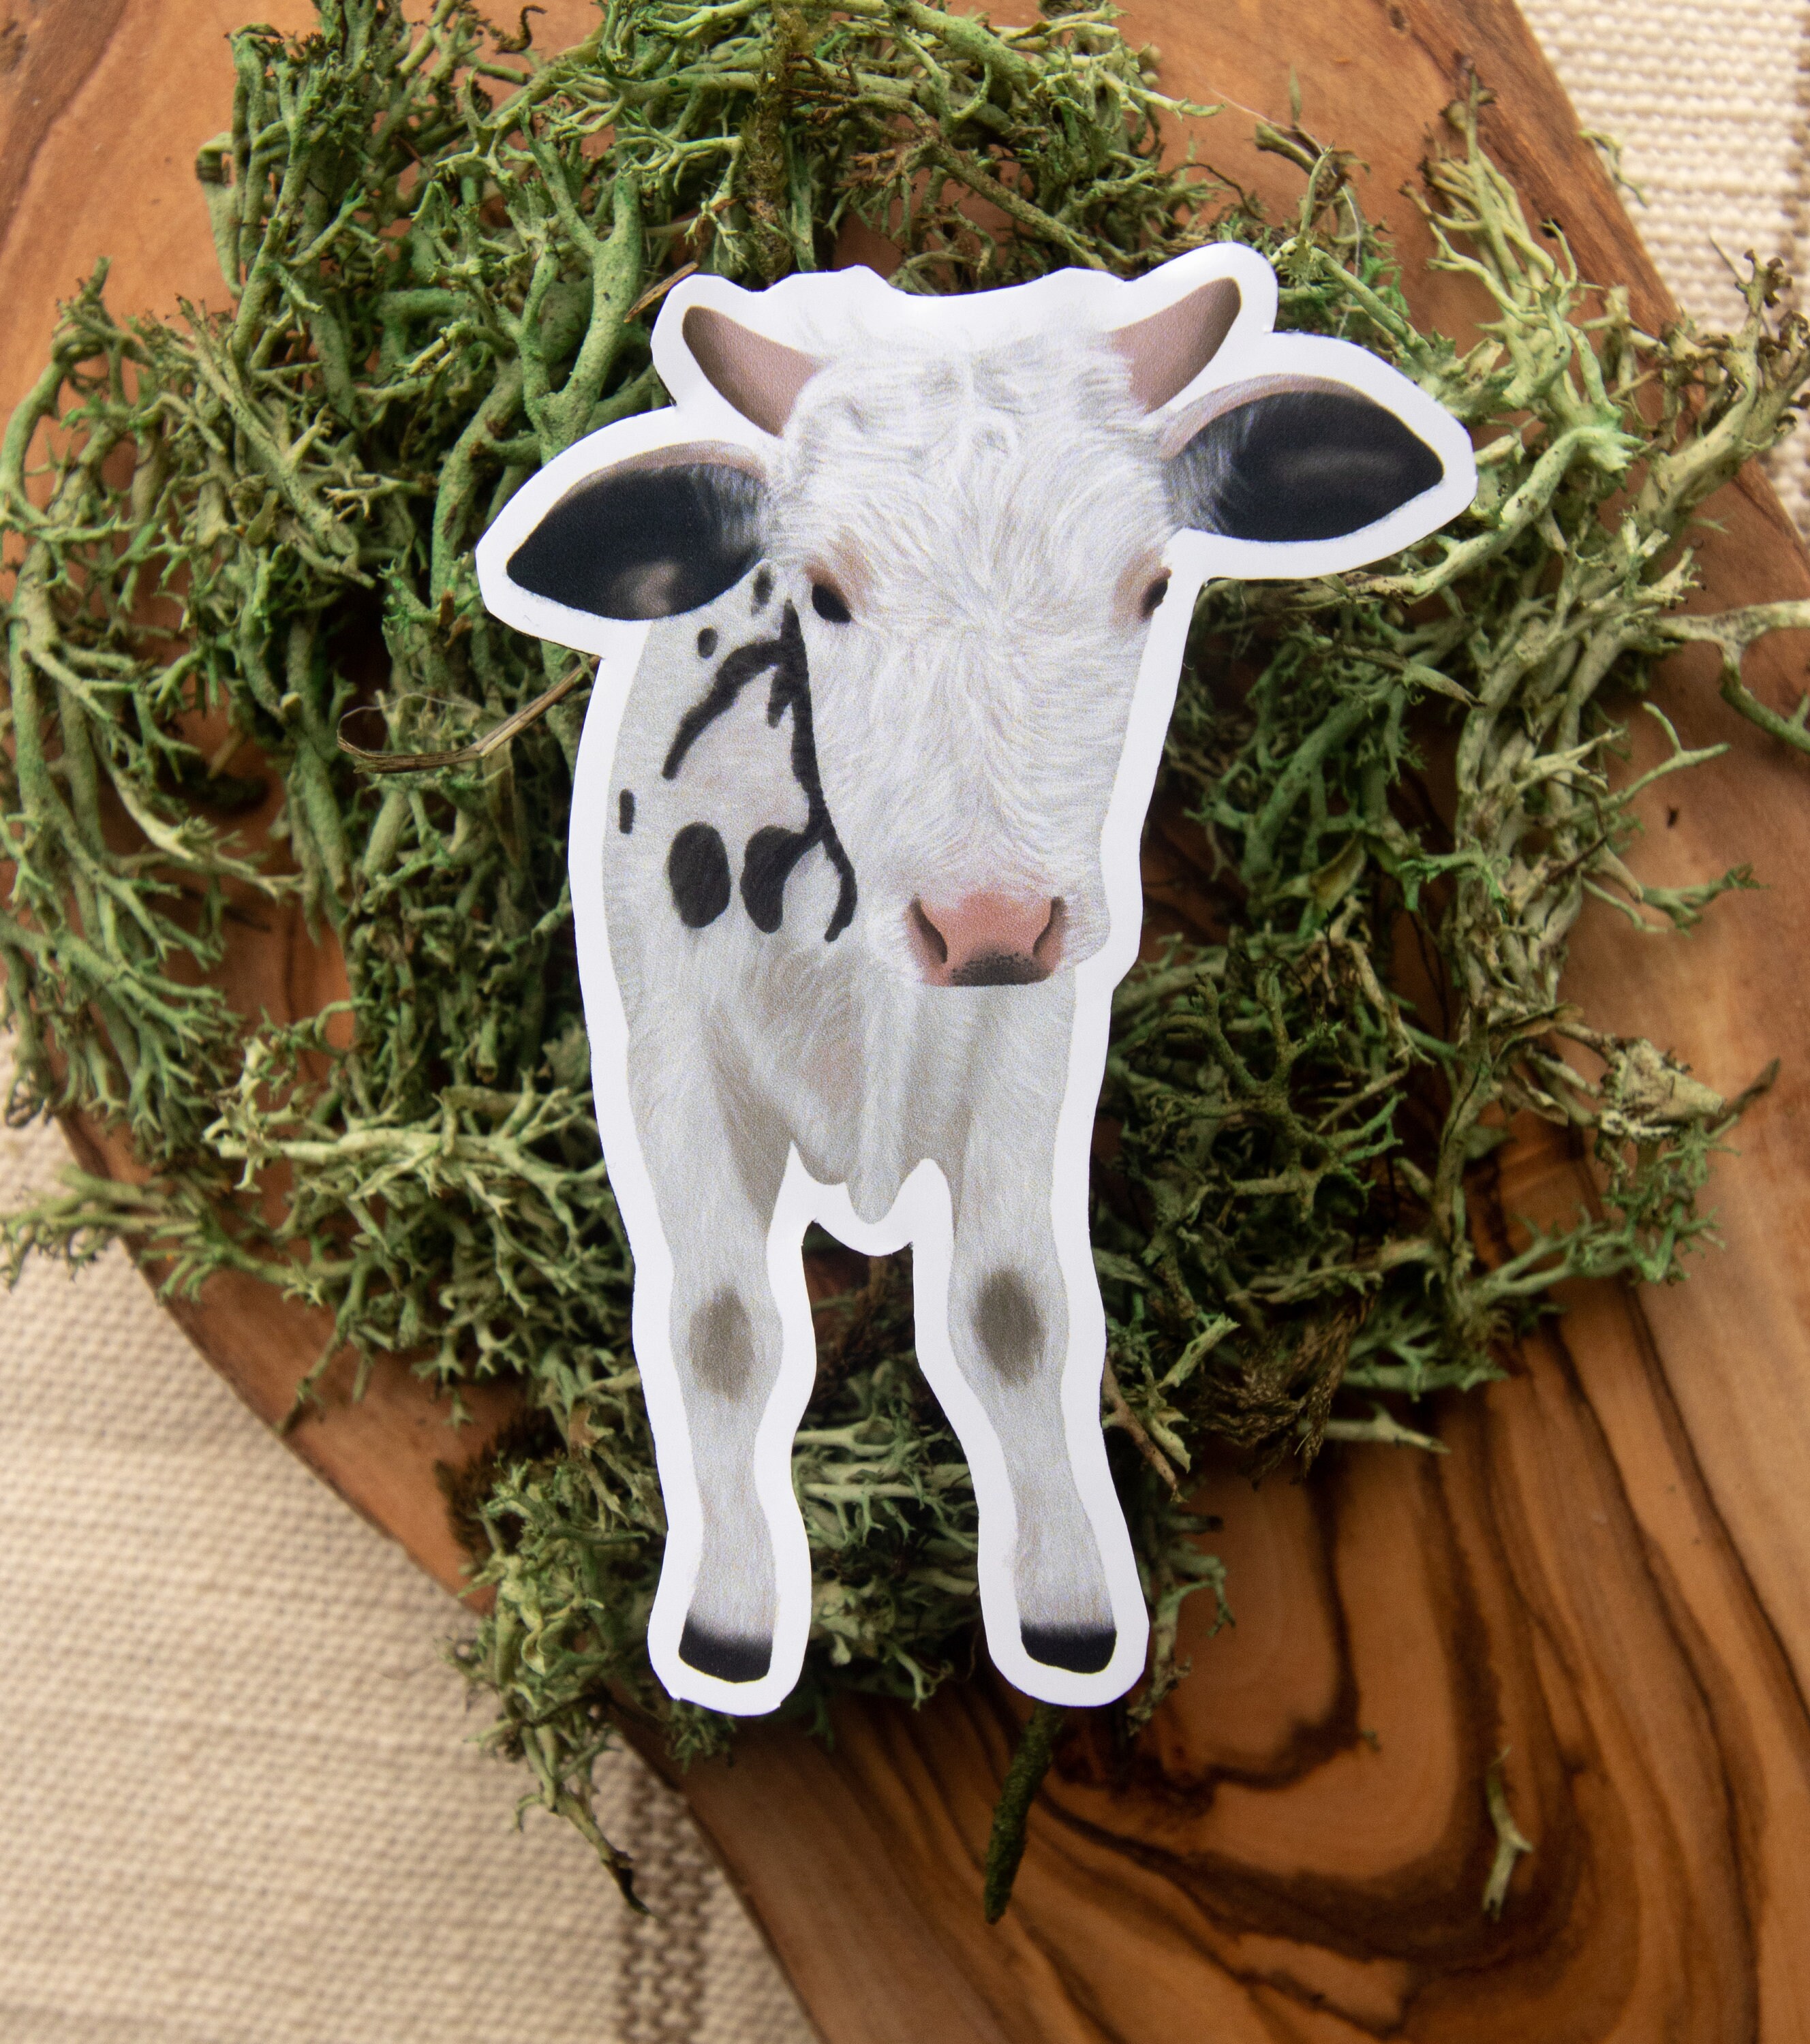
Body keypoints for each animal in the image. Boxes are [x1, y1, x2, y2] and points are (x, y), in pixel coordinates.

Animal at [476, 246, 1475, 1714]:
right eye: (825, 592)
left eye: (1149, 586)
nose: (989, 922)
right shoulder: (666, 1057)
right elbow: (719, 1331)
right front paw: (728, 1623)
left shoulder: (1035, 1040)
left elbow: (1014, 1316)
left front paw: (1063, 1610)